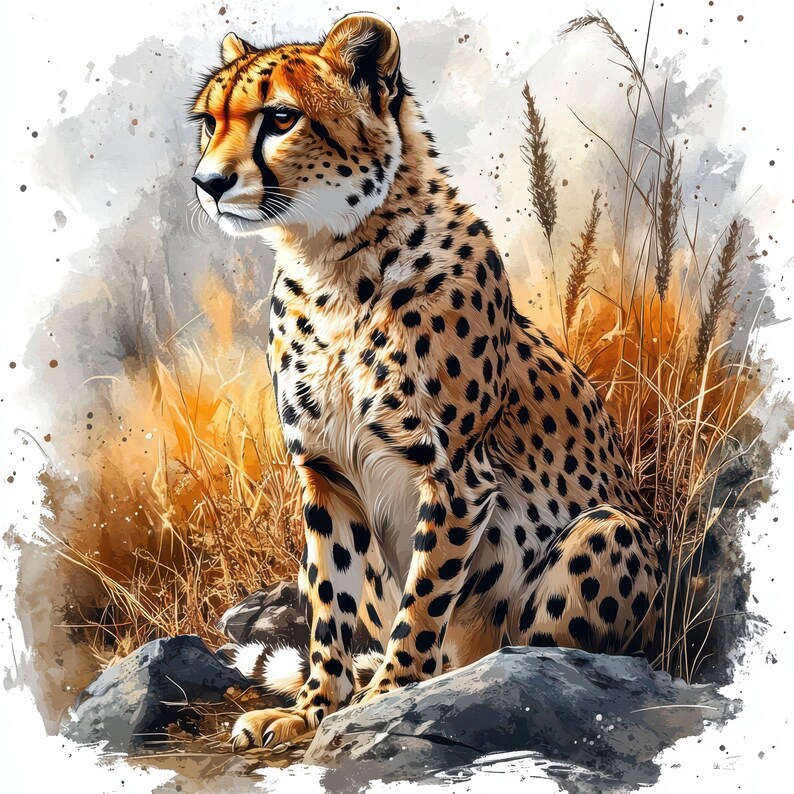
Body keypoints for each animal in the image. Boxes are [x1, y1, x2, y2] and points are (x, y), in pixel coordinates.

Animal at [190, 12, 667, 751]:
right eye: (208, 123)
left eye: (280, 118)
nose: (207, 182)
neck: (330, 265)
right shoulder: (327, 476)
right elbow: (332, 603)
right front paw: (313, 709)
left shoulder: (455, 474)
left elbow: (423, 597)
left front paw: (386, 694)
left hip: (611, 528)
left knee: (540, 648)